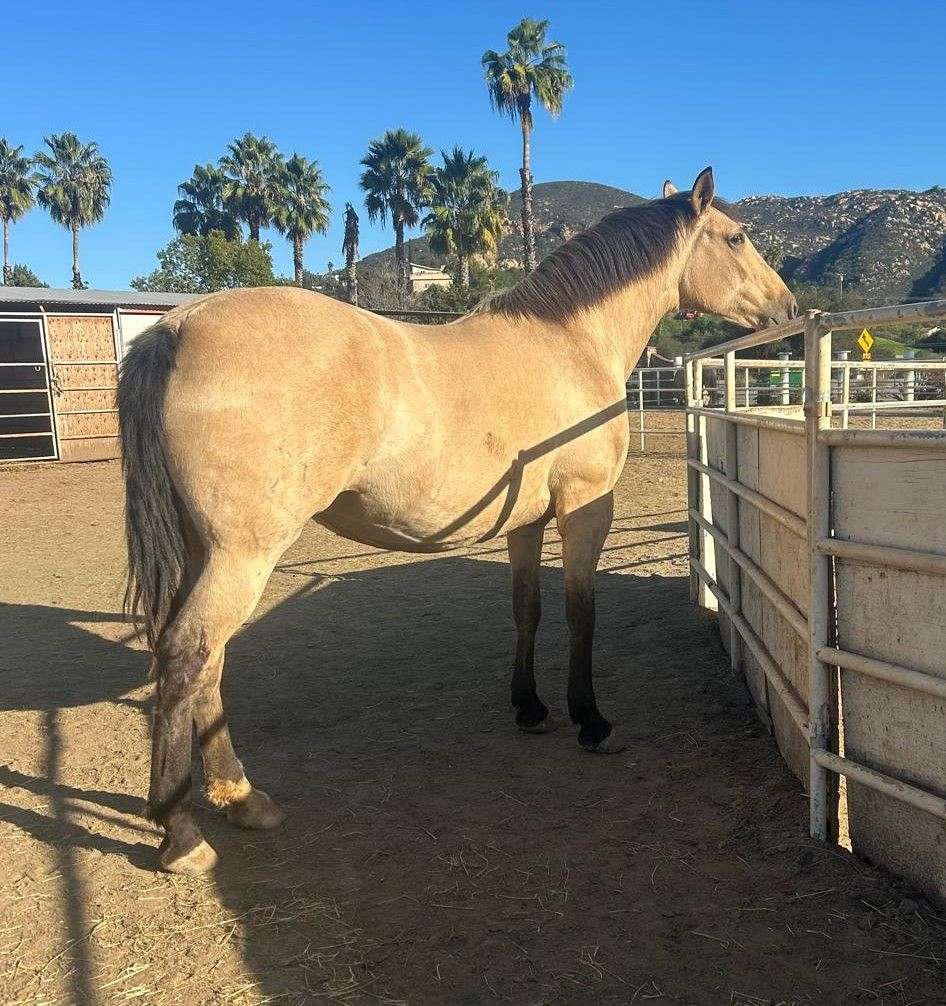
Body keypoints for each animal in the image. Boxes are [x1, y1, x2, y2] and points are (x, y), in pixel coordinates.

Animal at [118, 168, 797, 874]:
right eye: (736, 237)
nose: (788, 308)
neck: (570, 343)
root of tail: (175, 327)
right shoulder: (585, 510)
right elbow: (581, 612)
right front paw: (590, 720)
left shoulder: (526, 522)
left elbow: (527, 610)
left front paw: (530, 707)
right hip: (242, 555)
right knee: (187, 655)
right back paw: (182, 833)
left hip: (206, 552)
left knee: (207, 662)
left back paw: (242, 799)